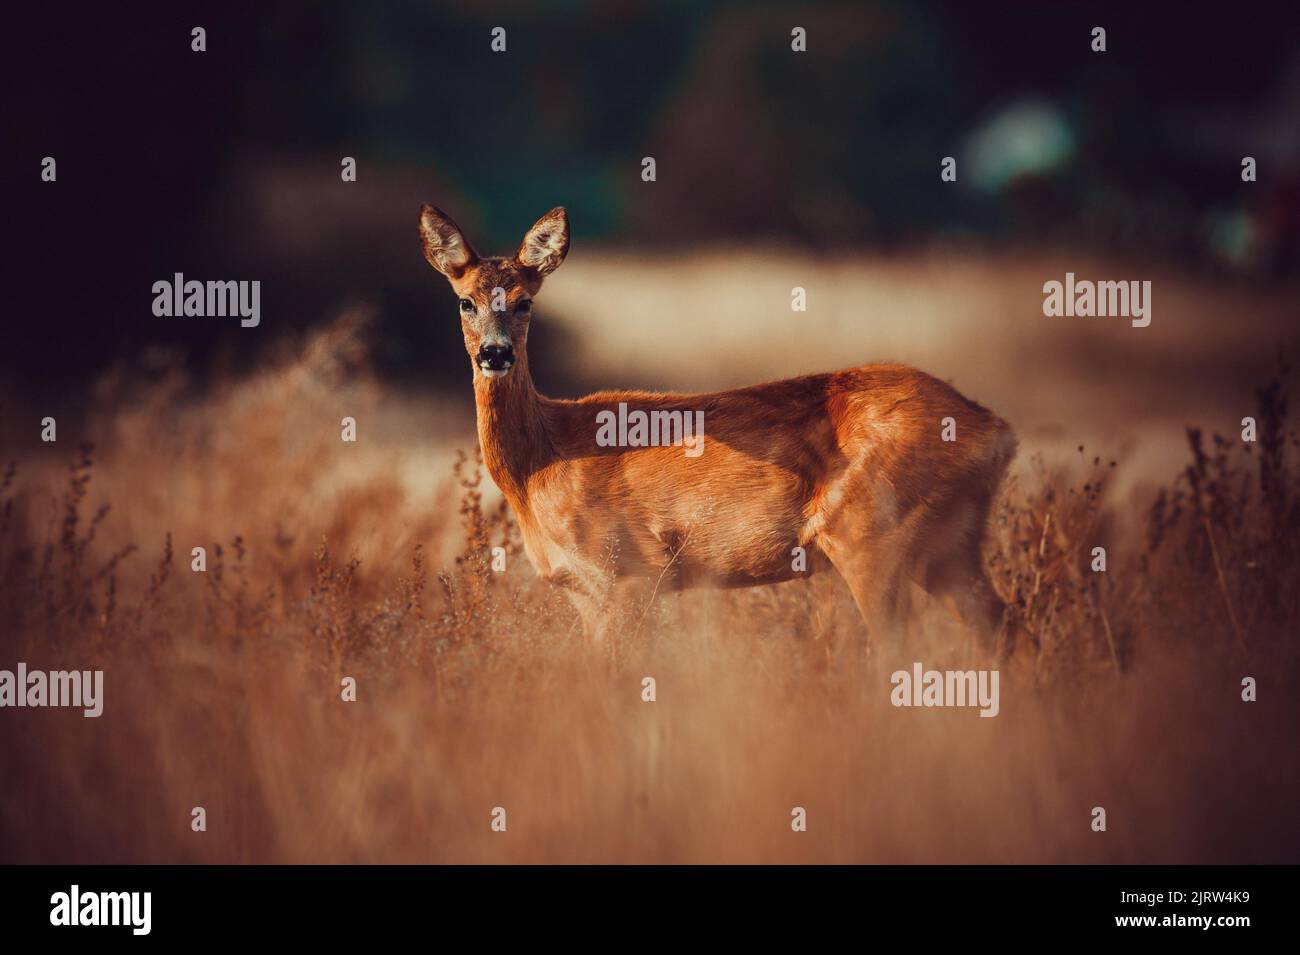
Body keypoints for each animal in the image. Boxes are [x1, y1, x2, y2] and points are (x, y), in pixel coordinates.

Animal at [419, 204, 1018, 651]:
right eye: (465, 300)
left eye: (524, 302)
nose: (495, 354)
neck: (541, 466)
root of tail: (996, 429)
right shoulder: (584, 591)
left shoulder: (629, 570)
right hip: (949, 542)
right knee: (1005, 628)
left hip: (871, 533)